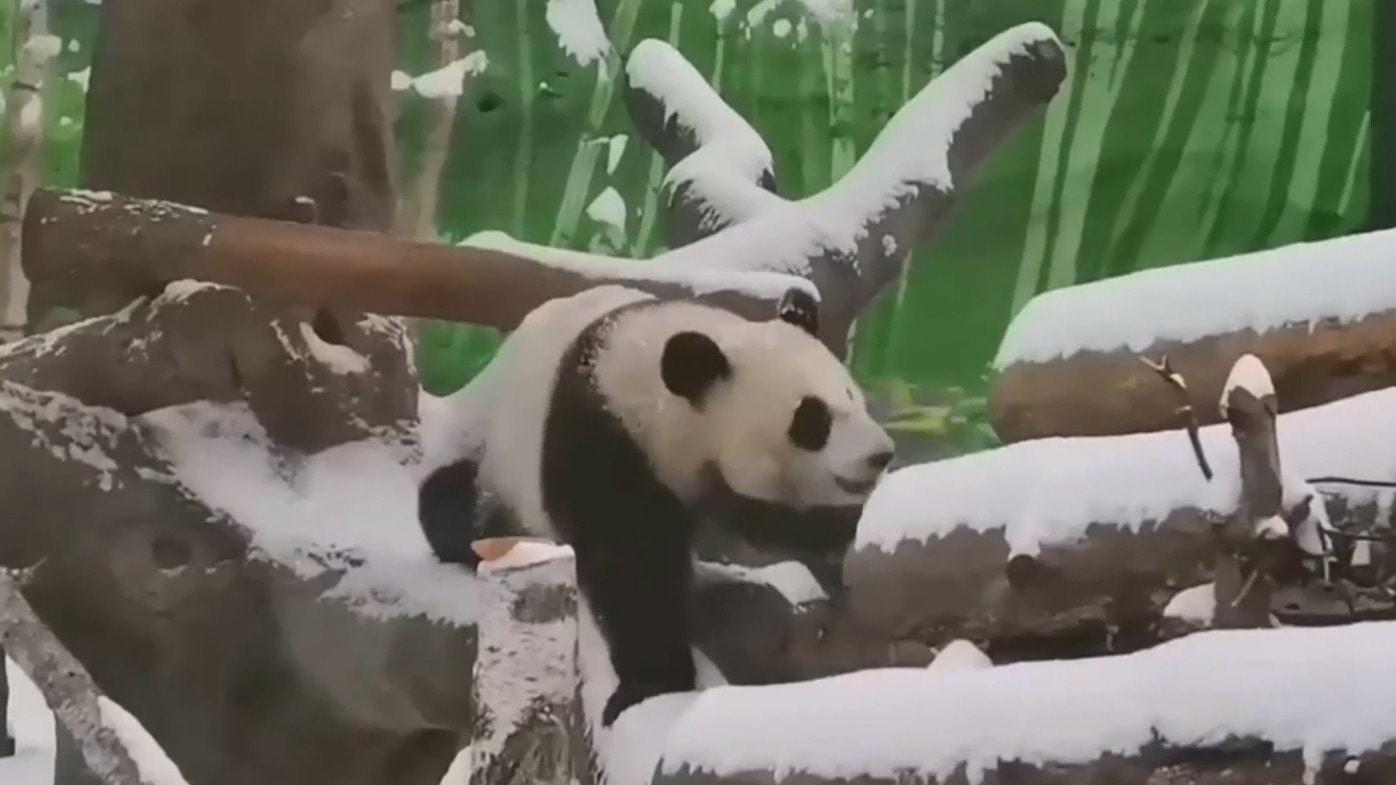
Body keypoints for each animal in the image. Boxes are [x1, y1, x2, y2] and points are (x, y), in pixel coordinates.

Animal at [417, 284, 894, 726]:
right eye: (813, 420)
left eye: (853, 396)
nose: (881, 454)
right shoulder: (601, 437)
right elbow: (630, 564)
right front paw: (654, 683)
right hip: (493, 457)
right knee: (454, 508)